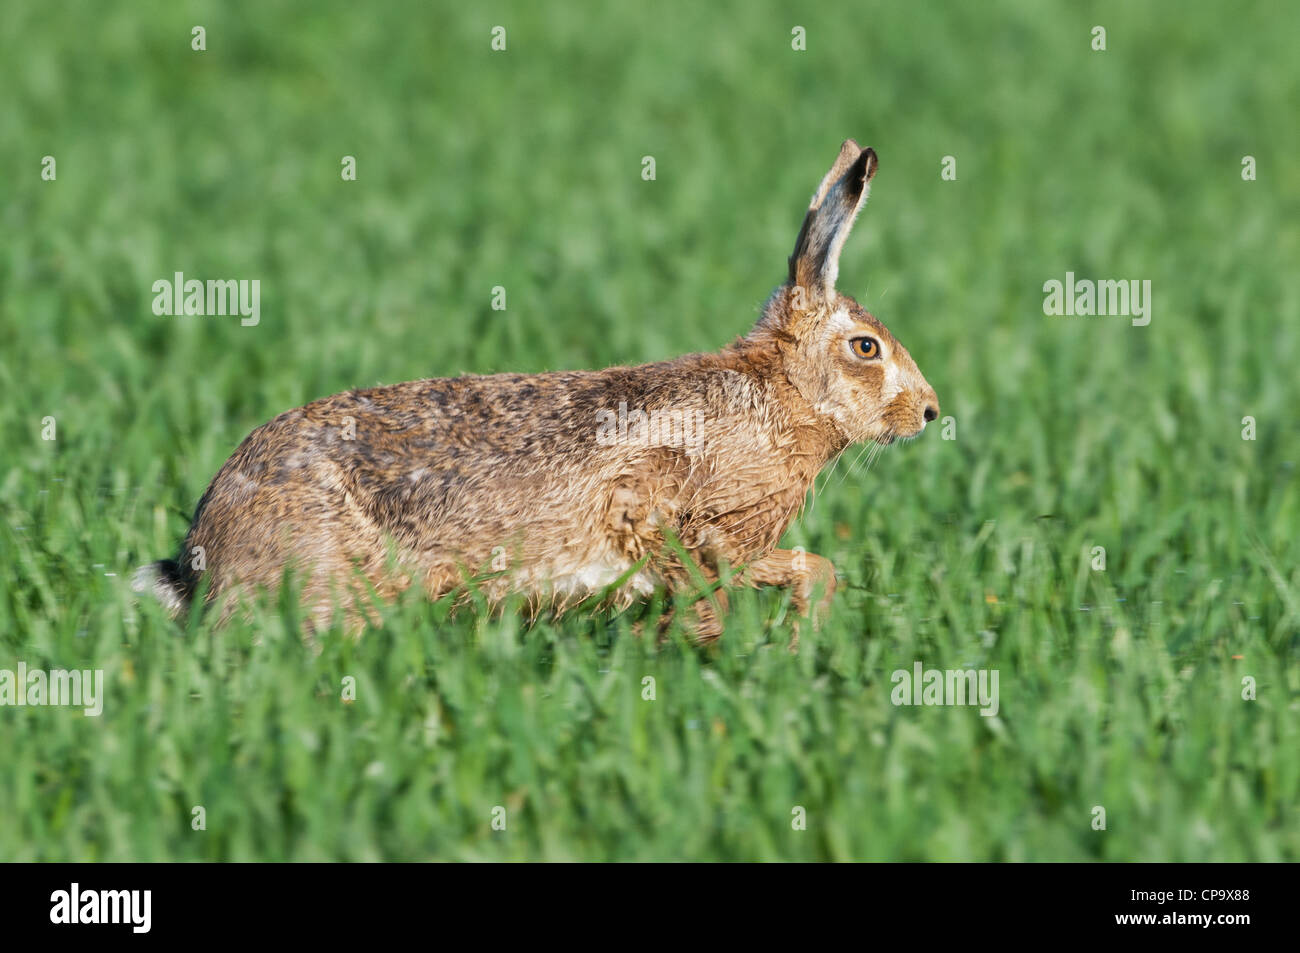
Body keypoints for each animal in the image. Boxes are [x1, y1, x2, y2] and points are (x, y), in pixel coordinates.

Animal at [134, 139, 939, 644]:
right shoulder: (667, 506)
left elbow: (806, 569)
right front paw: (706, 640)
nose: (930, 412)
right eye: (866, 348)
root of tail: (202, 553)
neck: (785, 395)